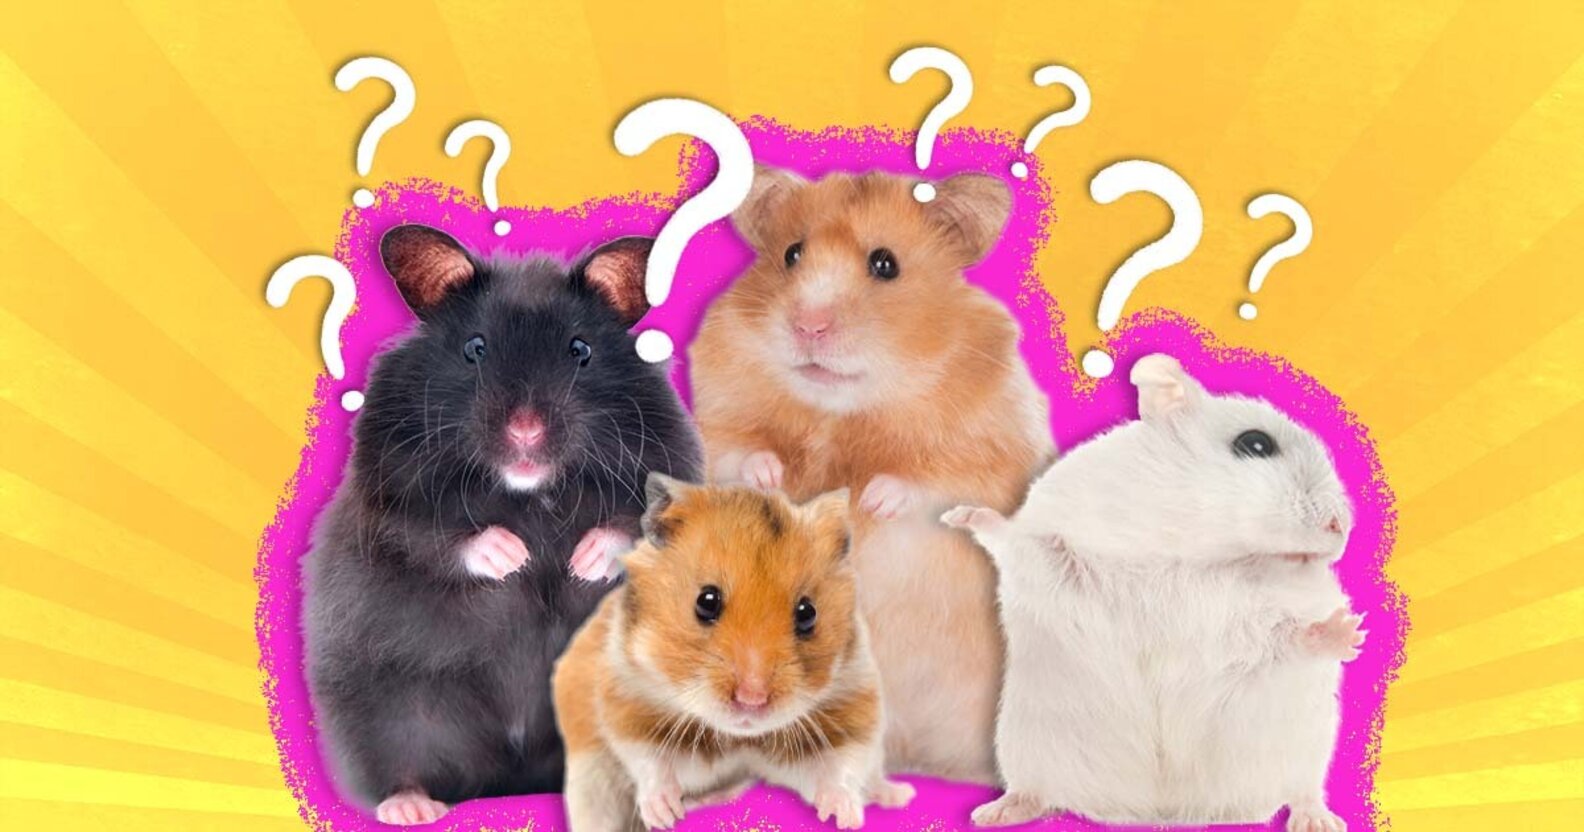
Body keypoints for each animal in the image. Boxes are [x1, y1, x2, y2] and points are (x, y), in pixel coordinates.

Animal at [303, 224, 702, 825]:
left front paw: (582, 561)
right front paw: (513, 556)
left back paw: (656, 800)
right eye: (475, 348)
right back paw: (411, 808)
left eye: (580, 350)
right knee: (399, 757)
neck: (528, 491)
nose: (526, 432)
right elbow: (434, 535)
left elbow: (627, 527)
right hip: (386, 707)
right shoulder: (388, 491)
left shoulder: (670, 470)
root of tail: (516, 772)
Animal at [553, 476, 914, 832]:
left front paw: (844, 816)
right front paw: (664, 814)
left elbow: (840, 766)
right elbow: (651, 763)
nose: (752, 700)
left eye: (807, 613)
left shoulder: (851, 706)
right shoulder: (627, 702)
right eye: (706, 601)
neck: (742, 737)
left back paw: (897, 794)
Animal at [687, 167, 1054, 782]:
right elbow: (742, 452)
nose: (807, 326)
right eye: (790, 254)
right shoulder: (719, 420)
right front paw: (772, 478)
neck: (843, 411)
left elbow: (932, 479)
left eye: (885, 264)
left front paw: (876, 501)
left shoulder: (993, 453)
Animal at [942, 354, 1363, 831]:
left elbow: (1289, 635)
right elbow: (1015, 541)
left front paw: (1346, 630)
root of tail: (1166, 810)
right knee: (1038, 790)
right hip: (1027, 742)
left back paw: (1319, 821)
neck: (1190, 551)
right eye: (1255, 444)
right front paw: (958, 514)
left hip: (1302, 746)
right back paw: (993, 813)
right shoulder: (1057, 558)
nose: (1342, 526)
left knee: (1303, 790)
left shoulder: (1257, 617)